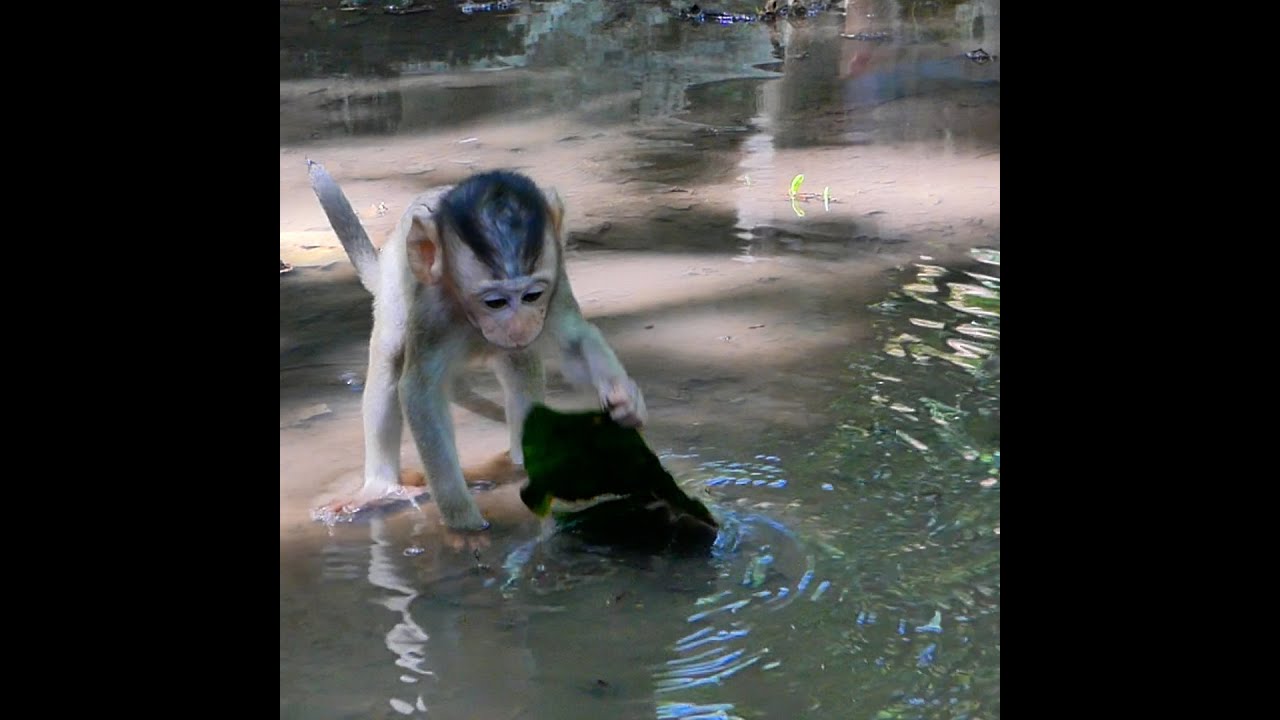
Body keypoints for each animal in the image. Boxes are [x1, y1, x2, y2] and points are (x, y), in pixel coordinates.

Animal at [306, 161, 647, 531]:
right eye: (495, 302)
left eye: (532, 296)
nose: (518, 324)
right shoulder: (433, 311)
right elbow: (419, 392)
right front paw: (465, 522)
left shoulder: (556, 288)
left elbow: (574, 341)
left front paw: (625, 398)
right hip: (395, 285)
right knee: (391, 357)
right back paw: (380, 489)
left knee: (520, 362)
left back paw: (520, 459)